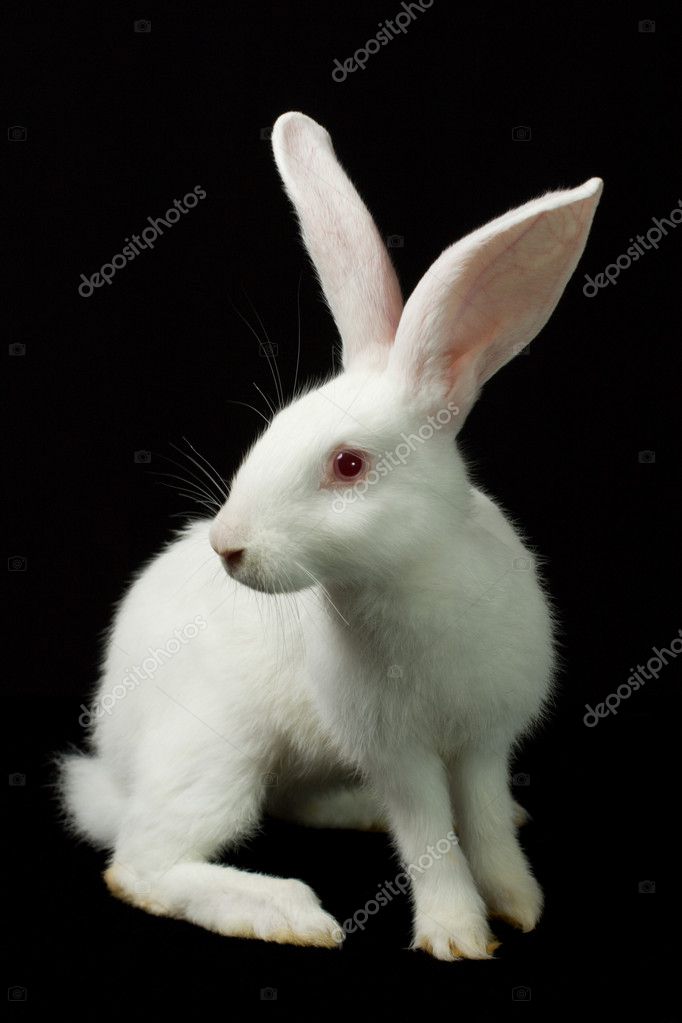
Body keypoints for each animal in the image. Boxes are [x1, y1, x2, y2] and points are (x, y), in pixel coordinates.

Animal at [58, 111, 602, 961]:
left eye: (348, 464)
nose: (228, 545)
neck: (411, 578)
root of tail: (111, 770)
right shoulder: (400, 751)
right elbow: (430, 836)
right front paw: (457, 933)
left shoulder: (484, 741)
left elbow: (483, 821)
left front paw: (517, 901)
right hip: (216, 753)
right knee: (143, 862)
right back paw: (281, 909)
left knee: (290, 806)